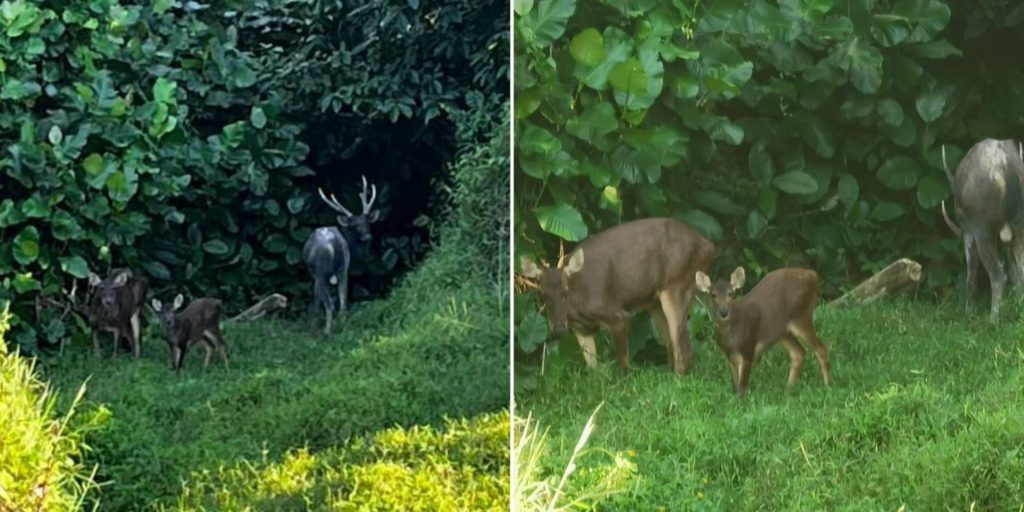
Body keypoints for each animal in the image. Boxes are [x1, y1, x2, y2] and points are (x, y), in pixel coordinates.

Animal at [304, 175, 381, 335]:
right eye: (355, 225)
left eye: (367, 222)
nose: (367, 237)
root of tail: (332, 245)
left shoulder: (316, 274)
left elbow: (316, 297)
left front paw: (313, 325)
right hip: (343, 267)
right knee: (343, 300)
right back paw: (343, 325)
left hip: (322, 271)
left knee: (330, 303)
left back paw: (327, 331)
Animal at [520, 218, 715, 374]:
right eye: (543, 295)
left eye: (565, 292)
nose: (558, 329)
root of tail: (709, 245)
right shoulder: (580, 328)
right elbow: (593, 369)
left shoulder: (617, 315)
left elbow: (623, 363)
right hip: (655, 303)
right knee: (672, 344)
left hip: (677, 285)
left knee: (684, 347)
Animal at [695, 267, 832, 396]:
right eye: (713, 295)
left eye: (730, 293)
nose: (724, 312)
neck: (731, 338)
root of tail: (813, 275)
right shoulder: (728, 355)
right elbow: (735, 386)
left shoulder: (748, 348)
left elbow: (741, 388)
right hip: (782, 330)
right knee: (798, 353)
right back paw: (788, 390)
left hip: (801, 317)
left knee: (821, 349)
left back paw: (827, 386)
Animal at [941, 139, 1024, 323]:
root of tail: (1005, 164)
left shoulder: (970, 230)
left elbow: (971, 273)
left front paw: (968, 313)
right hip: (1019, 224)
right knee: (1019, 269)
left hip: (983, 230)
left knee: (998, 275)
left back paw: (993, 320)